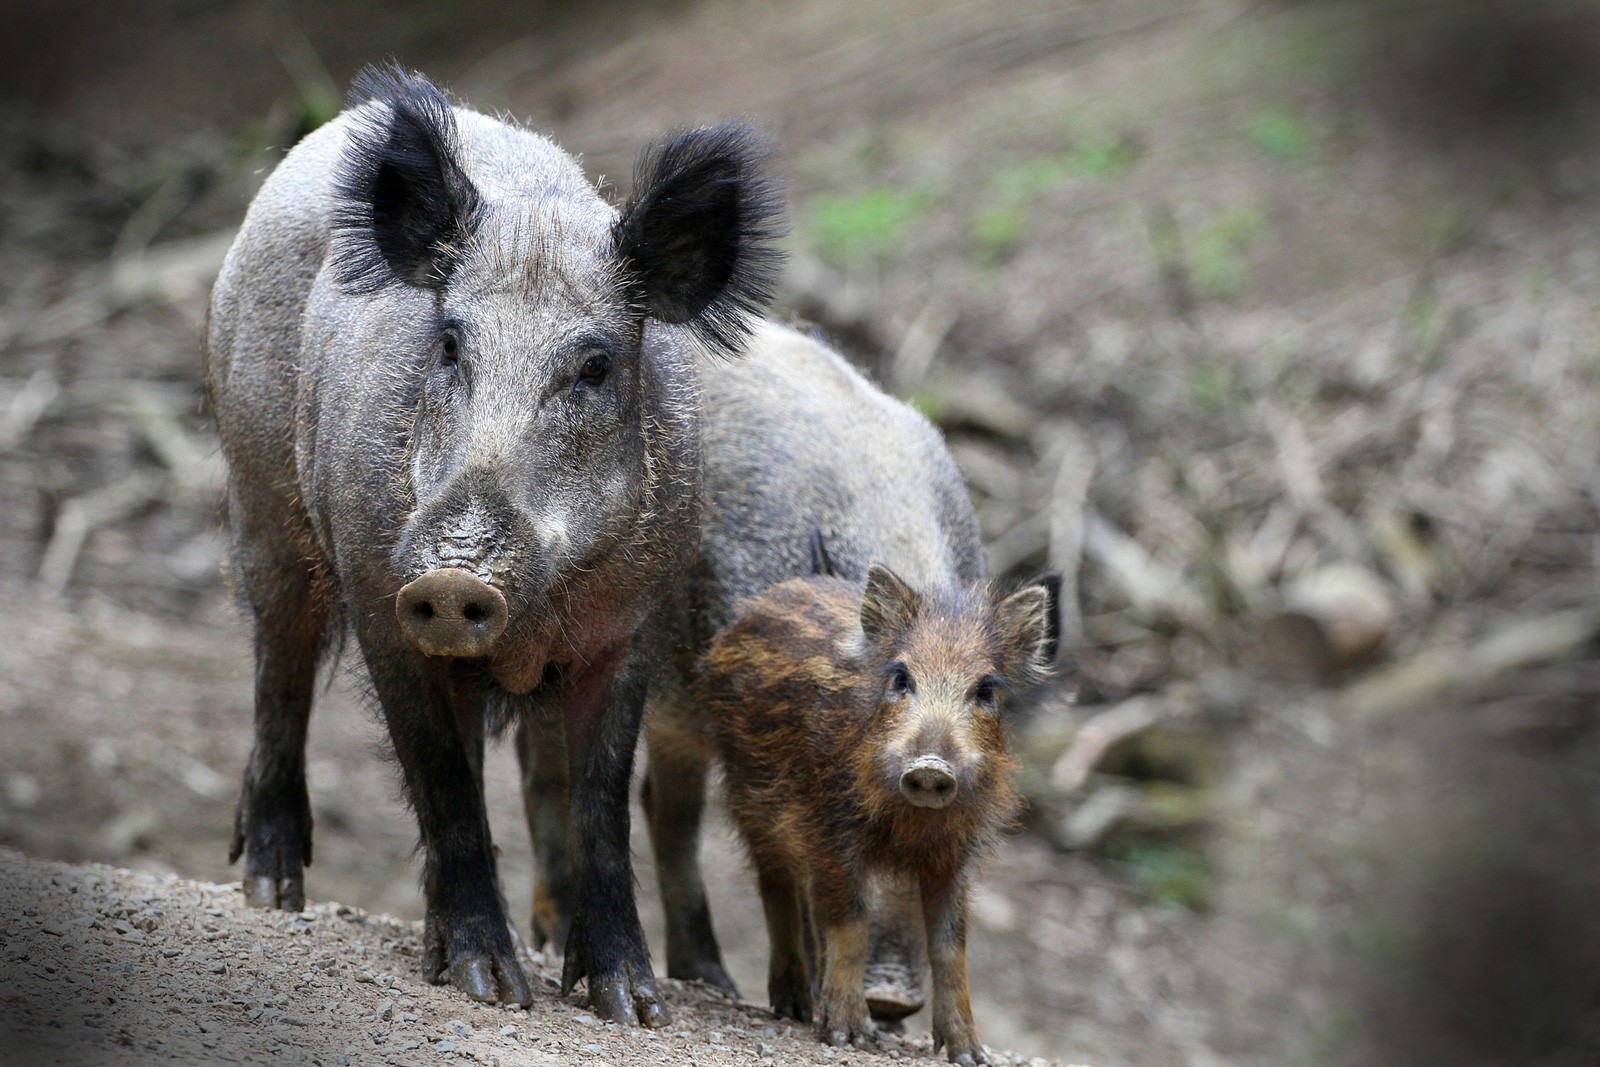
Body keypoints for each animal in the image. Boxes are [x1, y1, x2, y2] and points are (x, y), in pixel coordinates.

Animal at [204, 62, 783, 1025]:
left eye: (594, 366)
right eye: (448, 344)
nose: (452, 577)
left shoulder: (631, 626)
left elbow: (600, 800)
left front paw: (631, 1005)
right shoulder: (382, 599)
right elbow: (441, 779)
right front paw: (490, 988)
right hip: (259, 497)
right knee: (277, 671)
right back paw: (272, 891)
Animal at [702, 564, 1060, 1063]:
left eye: (986, 689)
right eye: (901, 678)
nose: (930, 767)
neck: (911, 825)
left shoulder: (954, 855)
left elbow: (951, 946)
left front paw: (969, 1054)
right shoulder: (831, 831)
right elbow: (851, 923)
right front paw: (847, 1035)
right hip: (749, 796)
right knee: (776, 885)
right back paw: (795, 1006)